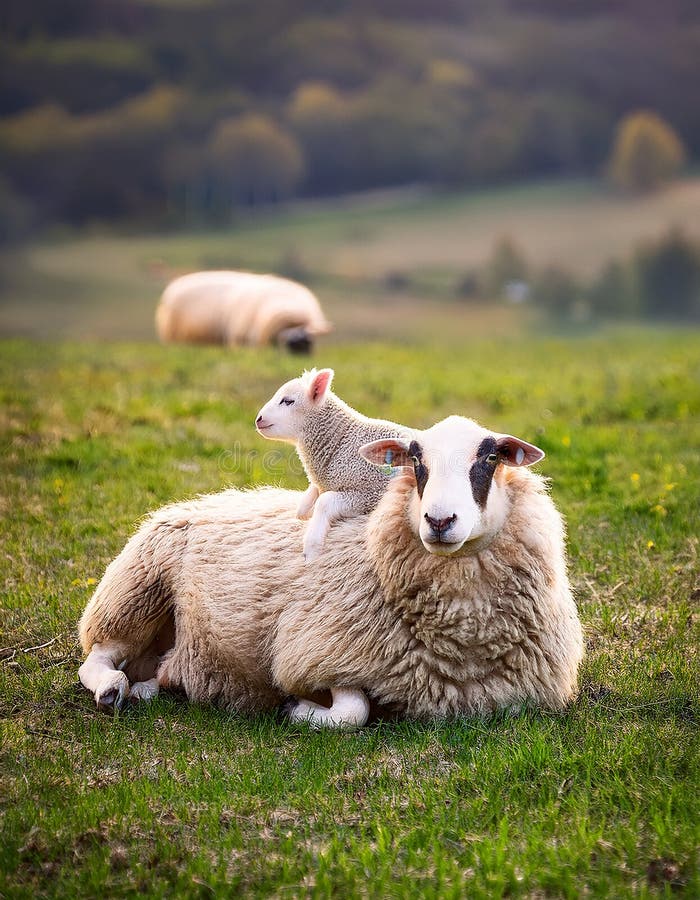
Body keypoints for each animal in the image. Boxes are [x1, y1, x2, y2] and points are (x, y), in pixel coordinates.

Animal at [78, 414, 584, 730]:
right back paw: (112, 690)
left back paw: (148, 688)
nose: (440, 521)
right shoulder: (318, 651)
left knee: (150, 670)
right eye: (416, 460)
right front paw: (296, 708)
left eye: (490, 459)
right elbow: (352, 712)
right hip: (135, 589)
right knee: (99, 656)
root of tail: (201, 500)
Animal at [155, 270, 331, 354]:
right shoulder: (239, 340)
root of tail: (173, 286)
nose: (303, 357)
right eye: (291, 344)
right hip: (174, 336)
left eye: (308, 343)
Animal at [255, 368, 412, 560]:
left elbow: (324, 502)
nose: (258, 419)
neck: (342, 442)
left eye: (288, 401)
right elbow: (303, 509)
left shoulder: (372, 492)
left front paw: (312, 546)